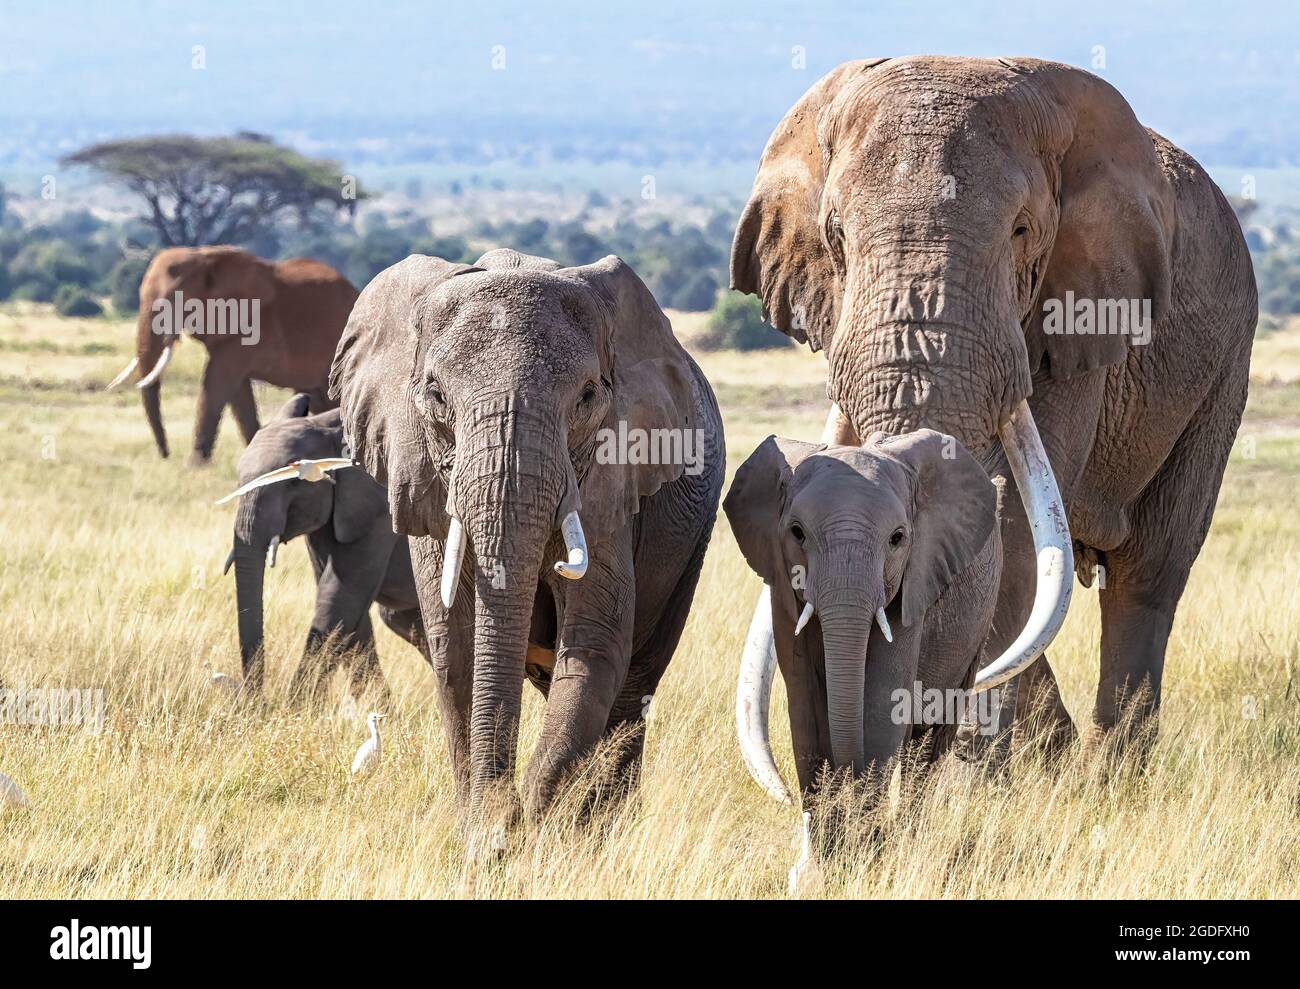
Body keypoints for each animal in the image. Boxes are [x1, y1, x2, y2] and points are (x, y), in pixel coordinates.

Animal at [107, 246, 359, 464]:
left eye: (174, 300)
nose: (166, 456)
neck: (202, 256)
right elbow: (237, 392)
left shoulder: (248, 331)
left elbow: (217, 383)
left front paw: (195, 466)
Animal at [220, 393, 426, 698]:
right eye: (239, 482)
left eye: (293, 485)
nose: (255, 700)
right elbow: (346, 609)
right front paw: (377, 705)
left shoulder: (380, 509)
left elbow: (339, 597)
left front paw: (295, 705)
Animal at [329, 248, 724, 843]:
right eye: (436, 396)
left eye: (587, 397)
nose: (505, 822)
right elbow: (455, 648)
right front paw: (486, 830)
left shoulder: (613, 479)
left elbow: (595, 644)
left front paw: (532, 825)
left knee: (636, 681)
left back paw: (604, 828)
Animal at [725, 430, 1003, 802]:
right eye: (797, 533)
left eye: (897, 538)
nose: (847, 777)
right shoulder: (781, 588)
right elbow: (805, 709)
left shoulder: (913, 583)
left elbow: (882, 707)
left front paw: (860, 812)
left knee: (930, 743)